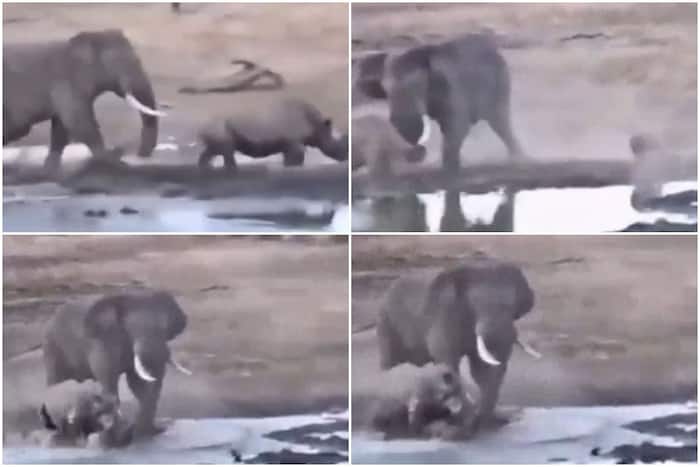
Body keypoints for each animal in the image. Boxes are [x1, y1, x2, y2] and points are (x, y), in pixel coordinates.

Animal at [3, 29, 165, 172]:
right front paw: (112, 162)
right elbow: (80, 125)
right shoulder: (66, 84)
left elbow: (61, 130)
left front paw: (49, 170)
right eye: (121, 61)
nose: (141, 154)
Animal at [42, 290, 191, 438]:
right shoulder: (103, 341)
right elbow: (110, 378)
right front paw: (118, 432)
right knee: (56, 381)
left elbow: (138, 384)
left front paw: (148, 432)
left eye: (165, 327)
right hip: (53, 346)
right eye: (131, 329)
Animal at [197, 97, 347, 171]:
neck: (317, 125)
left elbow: (289, 158)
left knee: (212, 150)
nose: (345, 158)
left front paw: (288, 167)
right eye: (336, 145)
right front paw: (293, 168)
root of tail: (200, 127)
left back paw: (206, 168)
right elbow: (297, 157)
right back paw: (230, 168)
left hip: (215, 128)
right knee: (227, 149)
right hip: (220, 126)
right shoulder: (294, 141)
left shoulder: (289, 143)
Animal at [354, 34, 527, 171]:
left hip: (500, 84)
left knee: (500, 123)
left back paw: (518, 159)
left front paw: (450, 170)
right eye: (386, 91)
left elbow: (457, 126)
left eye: (420, 88)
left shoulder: (452, 87)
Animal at [376, 258, 541, 432]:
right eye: (474, 306)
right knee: (390, 362)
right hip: (386, 323)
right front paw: (464, 420)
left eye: (512, 306)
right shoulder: (444, 315)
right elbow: (448, 358)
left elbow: (481, 370)